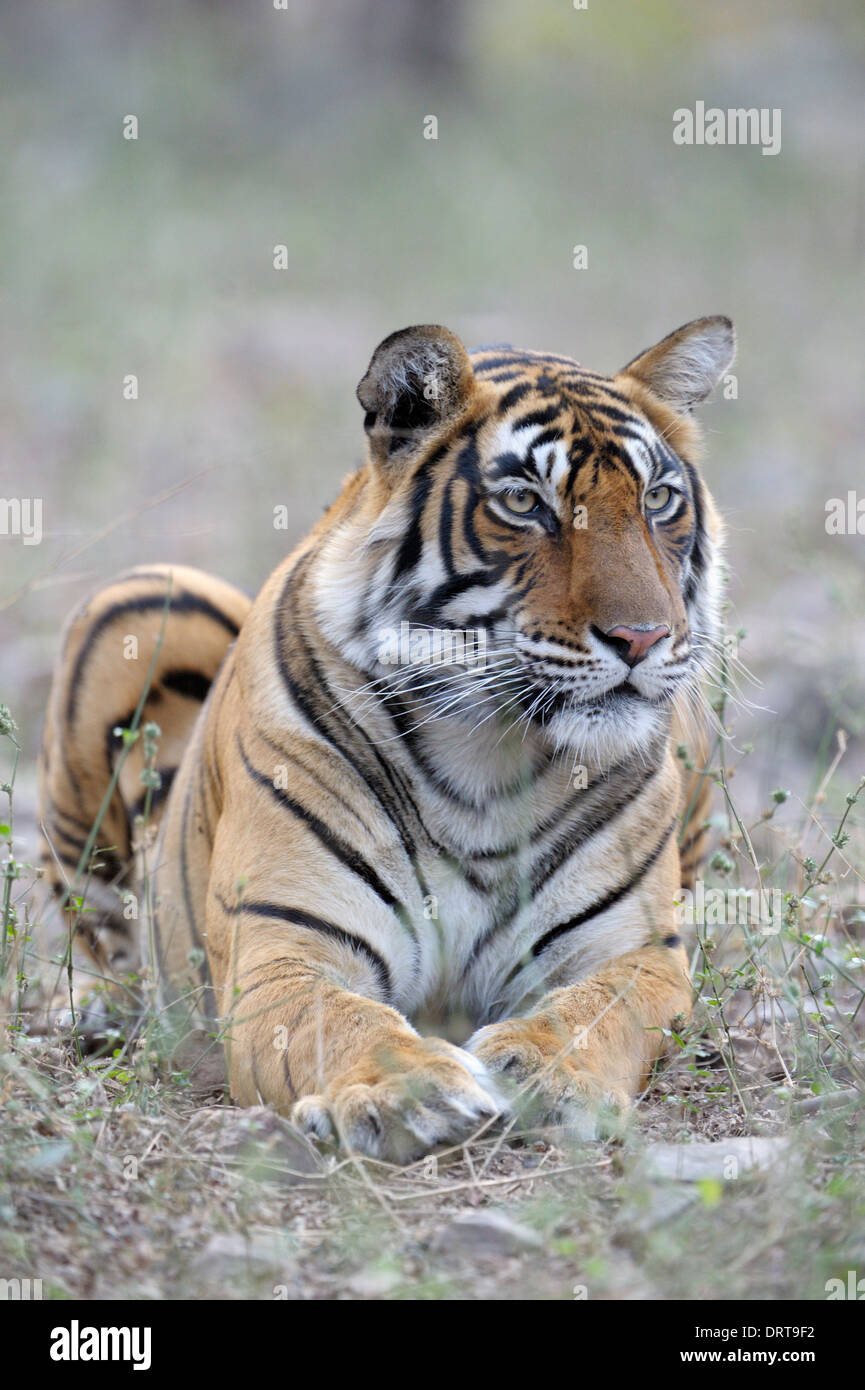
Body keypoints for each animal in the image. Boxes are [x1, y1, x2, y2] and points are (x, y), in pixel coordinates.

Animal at [39, 315, 734, 1161]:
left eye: (658, 499)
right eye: (524, 502)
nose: (642, 638)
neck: (488, 750)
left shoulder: (634, 951)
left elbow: (596, 1013)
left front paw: (546, 1073)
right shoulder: (286, 948)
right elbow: (338, 1020)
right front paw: (410, 1093)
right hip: (143, 599)